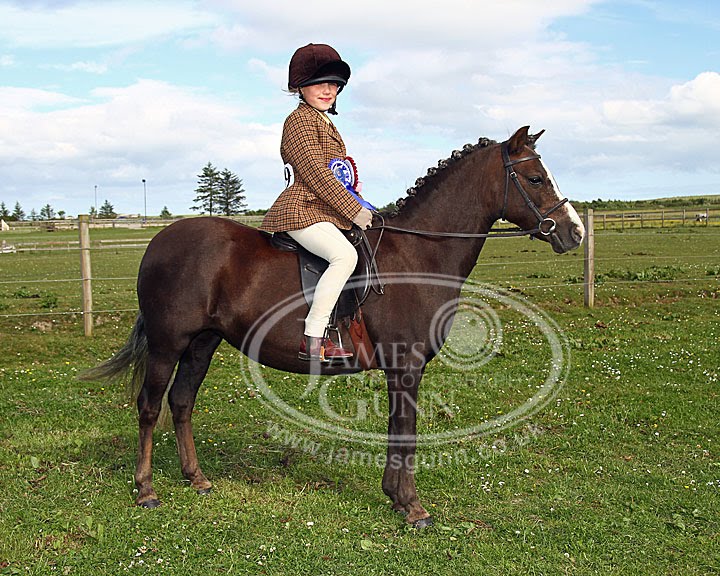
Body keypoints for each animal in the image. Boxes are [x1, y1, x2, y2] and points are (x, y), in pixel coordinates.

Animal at [82, 126, 584, 527]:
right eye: (536, 178)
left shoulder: (403, 370)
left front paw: (396, 498)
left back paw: (197, 478)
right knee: (151, 408)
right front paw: (411, 506)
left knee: (182, 402)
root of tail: (160, 240)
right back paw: (147, 491)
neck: (419, 253)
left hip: (203, 343)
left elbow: (398, 430)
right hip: (168, 344)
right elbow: (406, 432)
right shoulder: (406, 367)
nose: (574, 232)